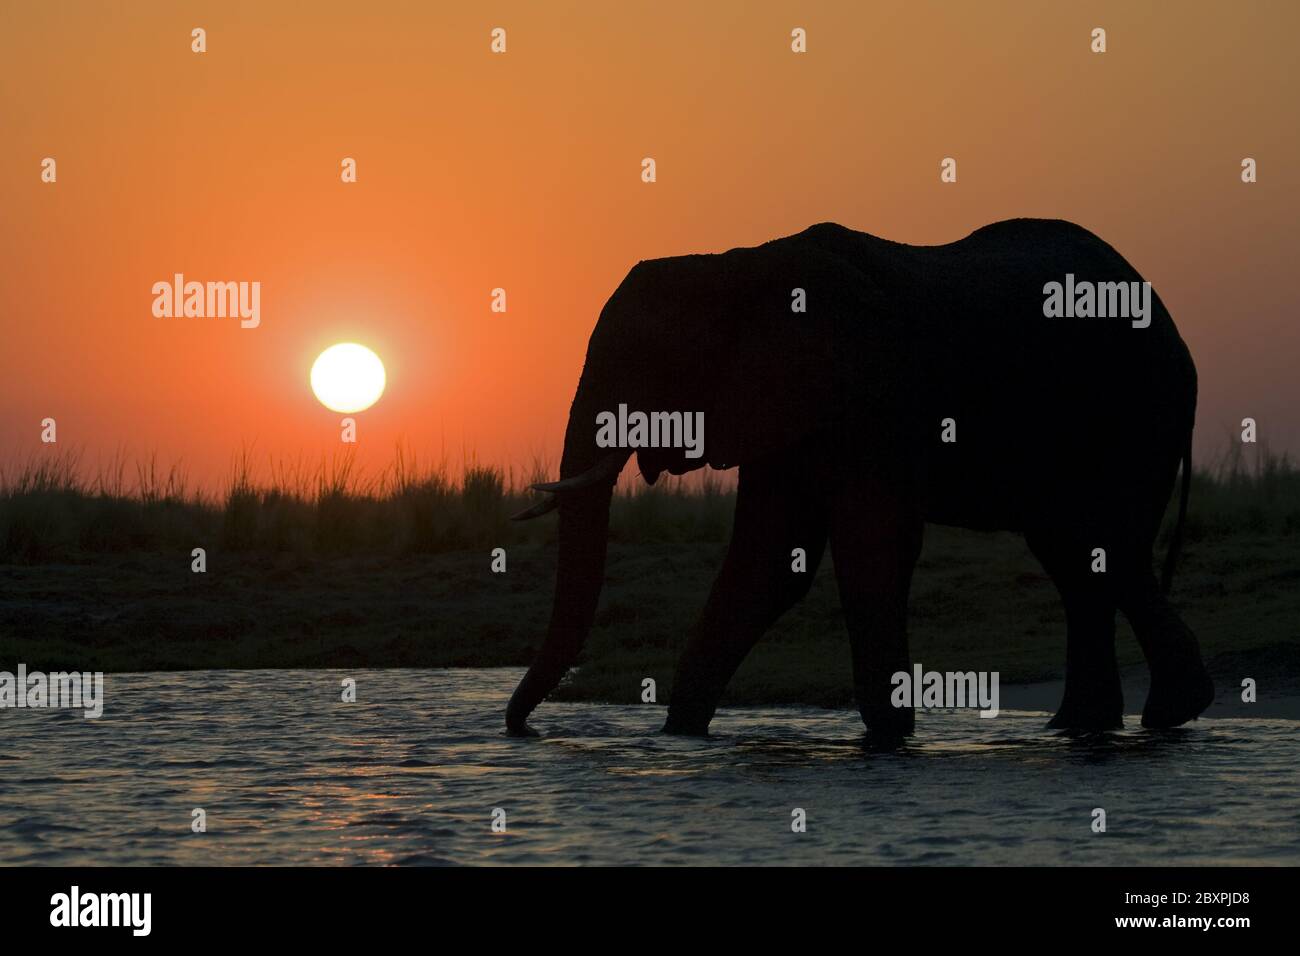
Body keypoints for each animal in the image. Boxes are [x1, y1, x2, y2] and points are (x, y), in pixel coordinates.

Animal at [506, 219, 1215, 739]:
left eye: (647, 361)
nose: (519, 729)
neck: (742, 264)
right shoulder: (785, 407)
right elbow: (768, 562)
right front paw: (681, 737)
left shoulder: (879, 393)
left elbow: (871, 545)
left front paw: (888, 741)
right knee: (1079, 558)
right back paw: (1087, 729)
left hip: (1140, 409)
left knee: (1103, 547)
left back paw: (1160, 717)